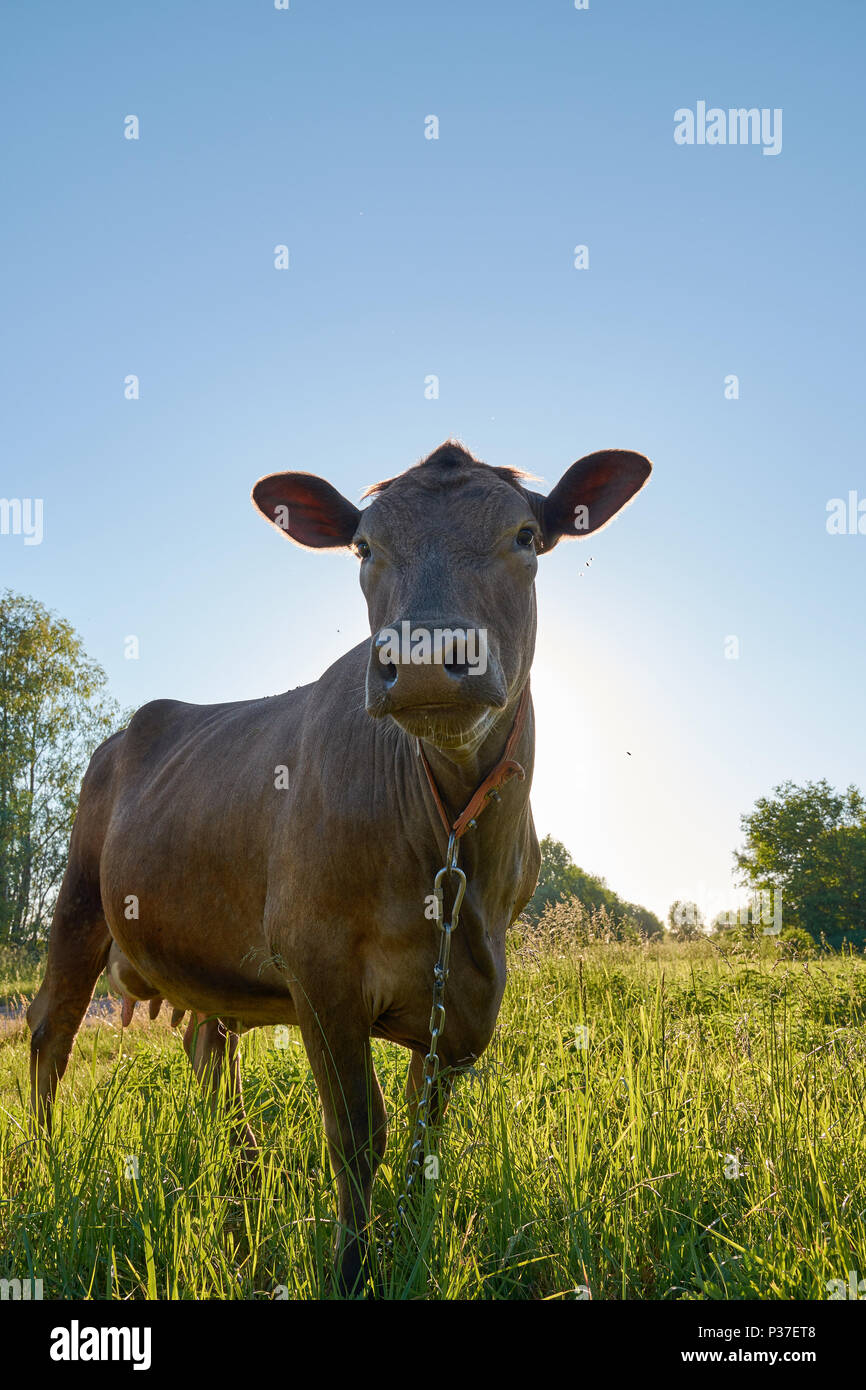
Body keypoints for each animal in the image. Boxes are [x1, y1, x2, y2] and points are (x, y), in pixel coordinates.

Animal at [27, 439, 651, 1292]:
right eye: (362, 546)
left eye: (527, 536)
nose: (423, 659)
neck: (447, 842)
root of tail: (135, 725)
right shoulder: (318, 964)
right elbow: (358, 1135)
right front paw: (352, 1272)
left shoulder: (466, 991)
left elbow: (424, 1139)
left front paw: (411, 1247)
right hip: (81, 900)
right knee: (49, 1030)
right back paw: (46, 1170)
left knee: (210, 1056)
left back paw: (238, 1203)